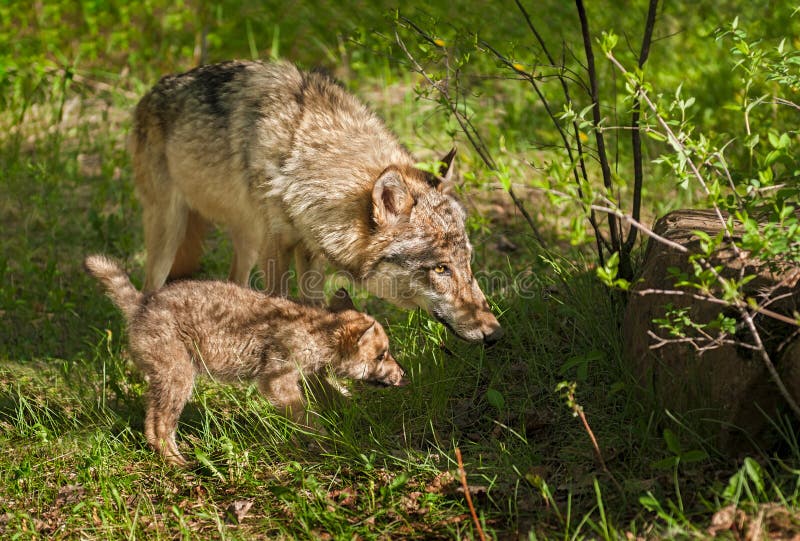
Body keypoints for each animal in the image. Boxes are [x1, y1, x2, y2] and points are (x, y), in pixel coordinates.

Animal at [85, 254, 408, 465]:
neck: (319, 331)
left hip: (166, 379)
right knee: (160, 426)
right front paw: (327, 441)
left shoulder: (307, 375)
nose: (403, 374)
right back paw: (179, 463)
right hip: (178, 377)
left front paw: (351, 416)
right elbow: (306, 416)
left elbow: (331, 395)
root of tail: (141, 304)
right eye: (382, 354)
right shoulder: (277, 382)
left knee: (152, 422)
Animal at [130, 60, 503, 344]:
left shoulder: (310, 251)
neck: (301, 156)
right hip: (172, 232)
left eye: (468, 262)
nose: (495, 333)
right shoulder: (275, 247)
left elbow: (315, 308)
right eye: (440, 268)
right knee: (147, 291)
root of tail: (150, 92)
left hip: (246, 240)